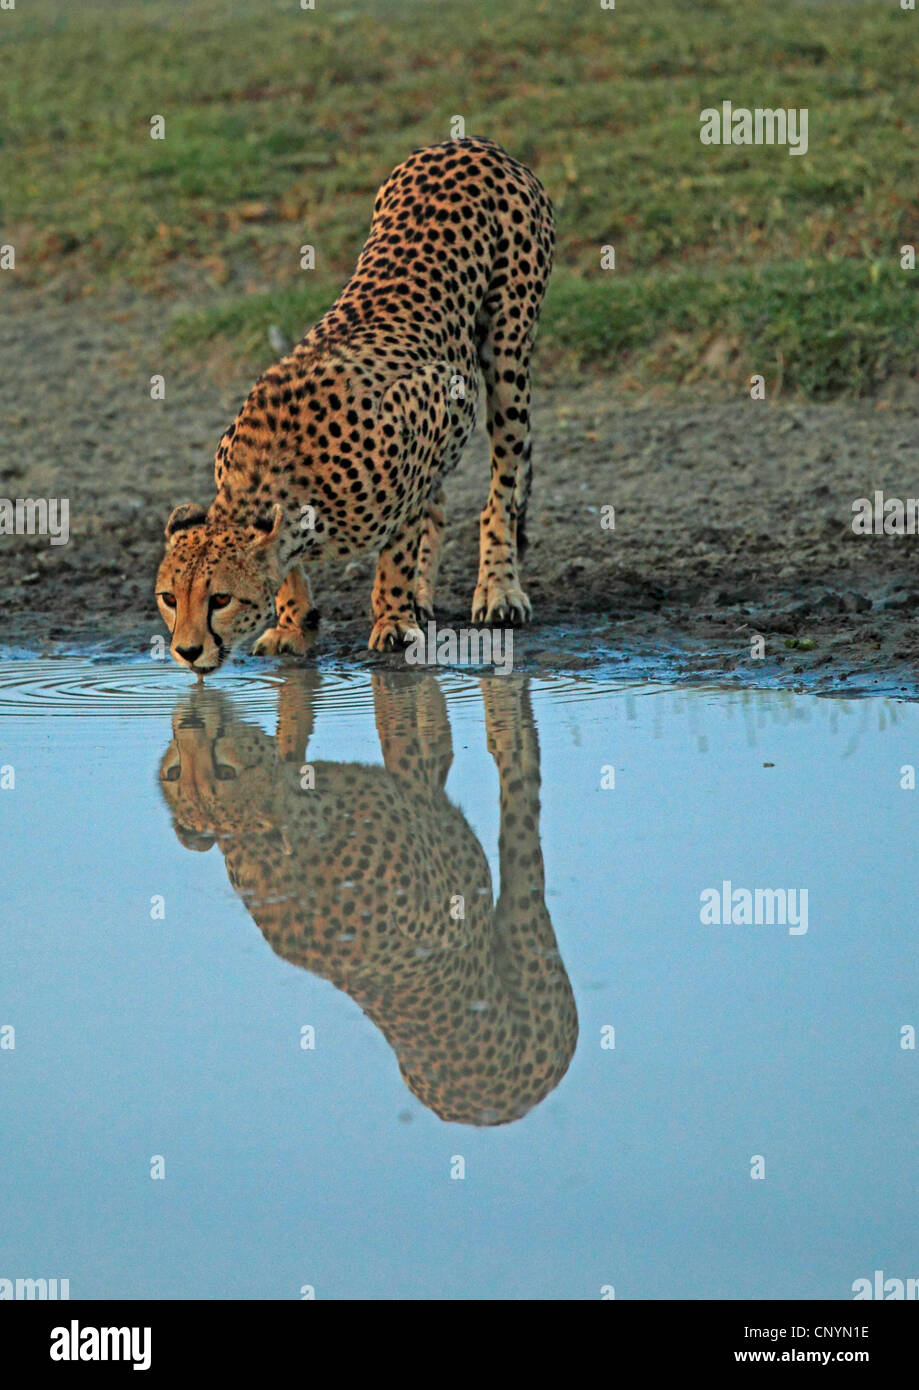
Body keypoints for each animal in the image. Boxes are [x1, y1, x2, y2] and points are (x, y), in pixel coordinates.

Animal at [155, 137, 555, 674]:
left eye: (220, 599)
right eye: (169, 598)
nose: (187, 651)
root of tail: (468, 142)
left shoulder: (430, 403)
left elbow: (399, 543)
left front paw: (392, 620)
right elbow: (288, 569)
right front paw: (293, 622)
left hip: (509, 352)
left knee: (502, 492)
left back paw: (496, 589)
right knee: (444, 503)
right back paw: (424, 593)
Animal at [158, 672, 578, 1126]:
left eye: (225, 770)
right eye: (175, 772)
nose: (192, 724)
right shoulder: (422, 797)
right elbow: (411, 732)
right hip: (529, 946)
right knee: (518, 791)